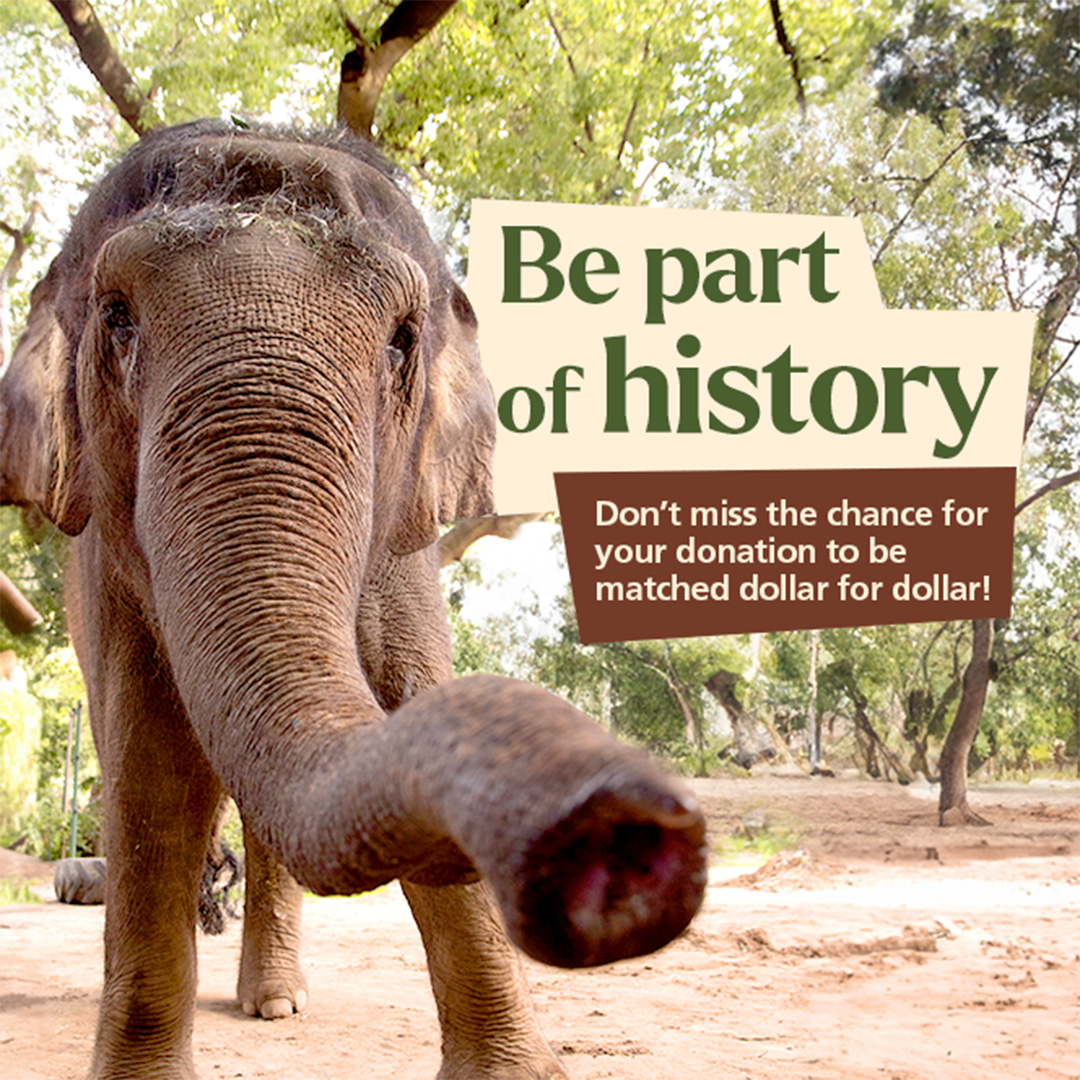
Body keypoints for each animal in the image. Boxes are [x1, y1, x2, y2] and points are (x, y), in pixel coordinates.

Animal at [0, 121, 707, 1080]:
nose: (626, 825)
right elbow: (151, 773)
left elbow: (410, 695)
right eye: (116, 315)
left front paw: (513, 1072)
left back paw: (274, 1003)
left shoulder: (408, 543)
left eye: (403, 338)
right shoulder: (108, 570)